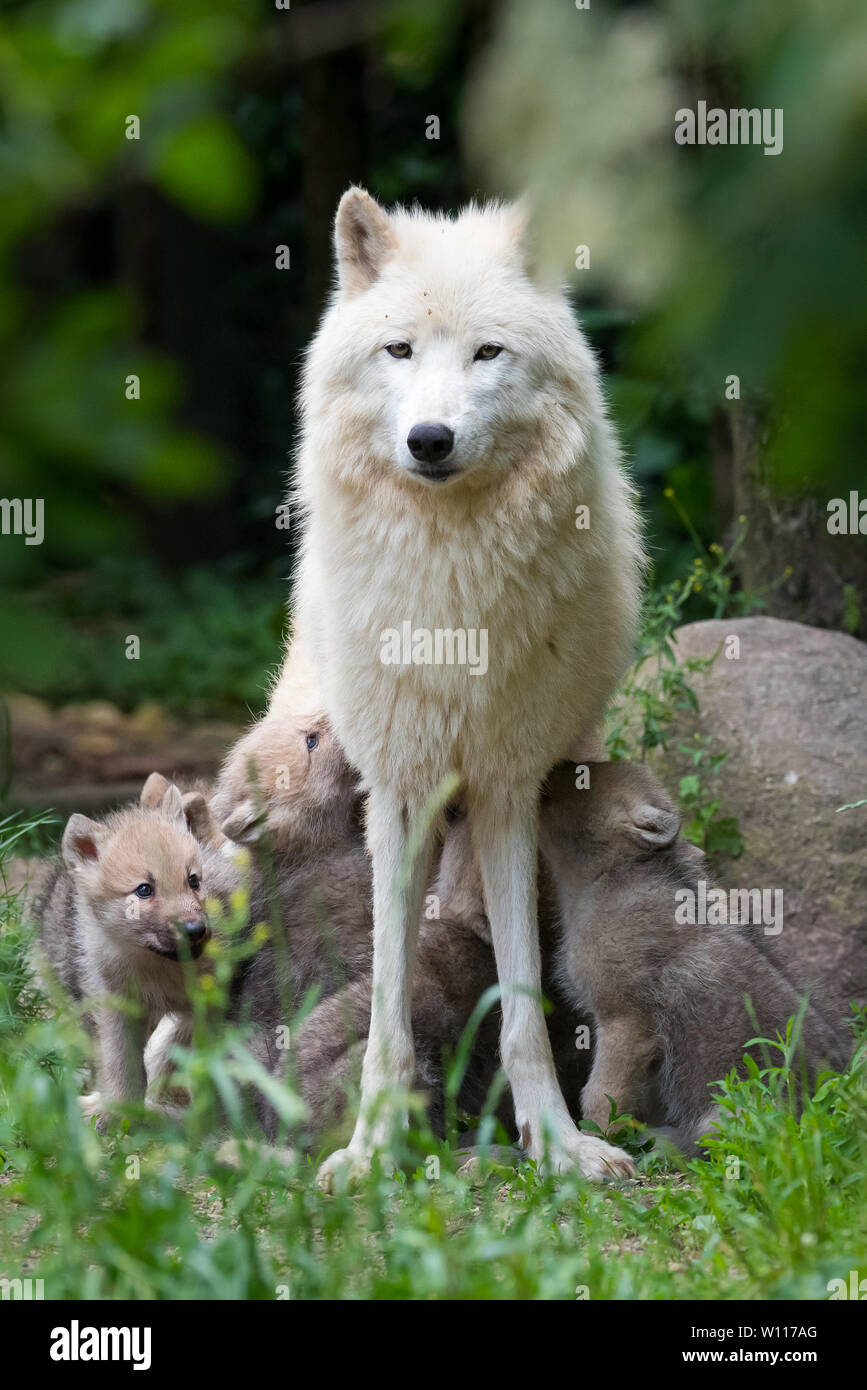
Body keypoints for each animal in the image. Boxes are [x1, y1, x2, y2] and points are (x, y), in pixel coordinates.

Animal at [292, 187, 643, 1183]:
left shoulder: (506, 790)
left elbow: (523, 998)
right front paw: (372, 1150)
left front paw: (556, 1143)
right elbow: (388, 1005)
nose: (430, 439)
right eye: (399, 351)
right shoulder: (400, 791)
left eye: (487, 353)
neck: (447, 583)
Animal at [538, 761, 846, 1153]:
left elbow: (602, 1094)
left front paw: (597, 1143)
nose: (555, 765)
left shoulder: (626, 1021)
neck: (607, 878)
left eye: (586, 779)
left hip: (727, 1115)